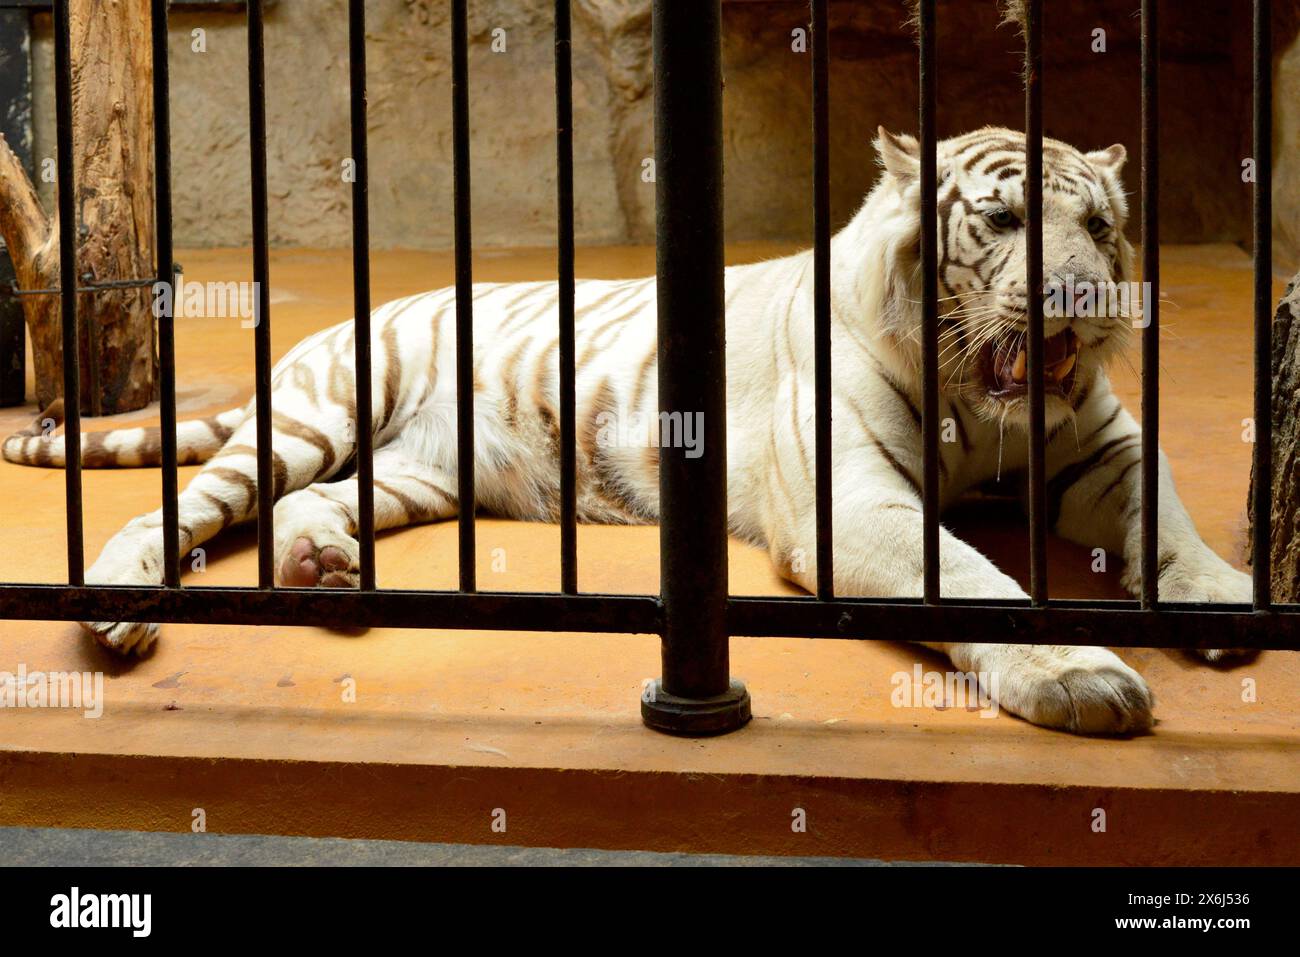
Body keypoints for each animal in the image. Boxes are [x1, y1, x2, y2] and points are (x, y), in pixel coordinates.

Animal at [3, 125, 1252, 735]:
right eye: (1001, 221)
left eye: (1104, 226)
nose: (1085, 300)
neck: (982, 406)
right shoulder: (854, 498)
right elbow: (975, 582)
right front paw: (1082, 675)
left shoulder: (1101, 449)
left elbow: (1168, 519)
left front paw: (1224, 600)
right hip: (319, 413)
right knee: (180, 504)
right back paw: (120, 609)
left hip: (419, 474)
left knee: (311, 506)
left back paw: (325, 573)